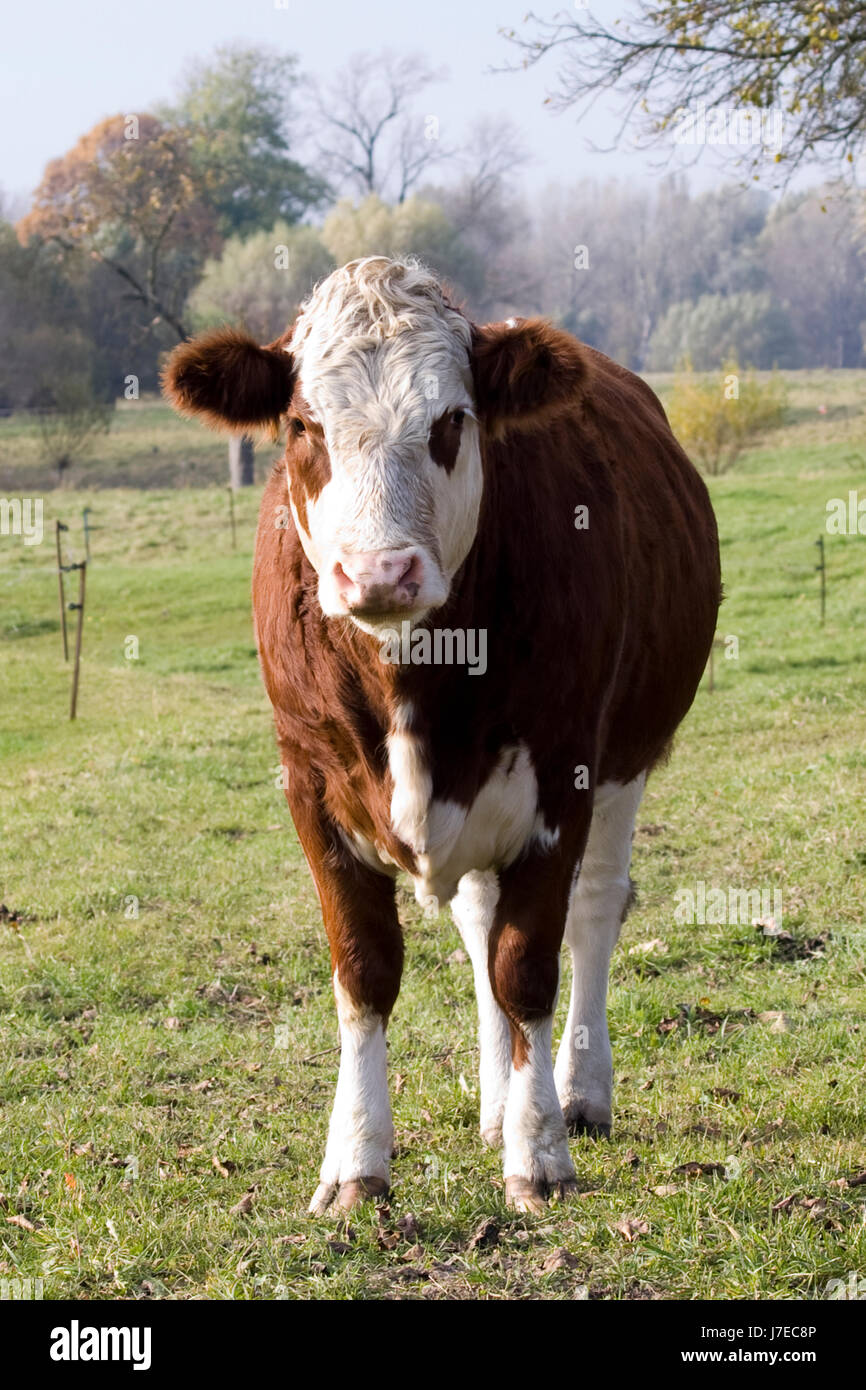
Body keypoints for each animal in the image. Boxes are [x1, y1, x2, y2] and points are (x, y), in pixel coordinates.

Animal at [164, 256, 721, 1215]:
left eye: (452, 421)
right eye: (304, 425)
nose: (379, 571)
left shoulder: (561, 779)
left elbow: (528, 965)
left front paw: (538, 1155)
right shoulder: (308, 786)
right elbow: (366, 973)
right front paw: (357, 1162)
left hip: (626, 763)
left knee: (594, 910)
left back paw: (578, 1094)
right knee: (477, 921)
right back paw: (498, 1103)